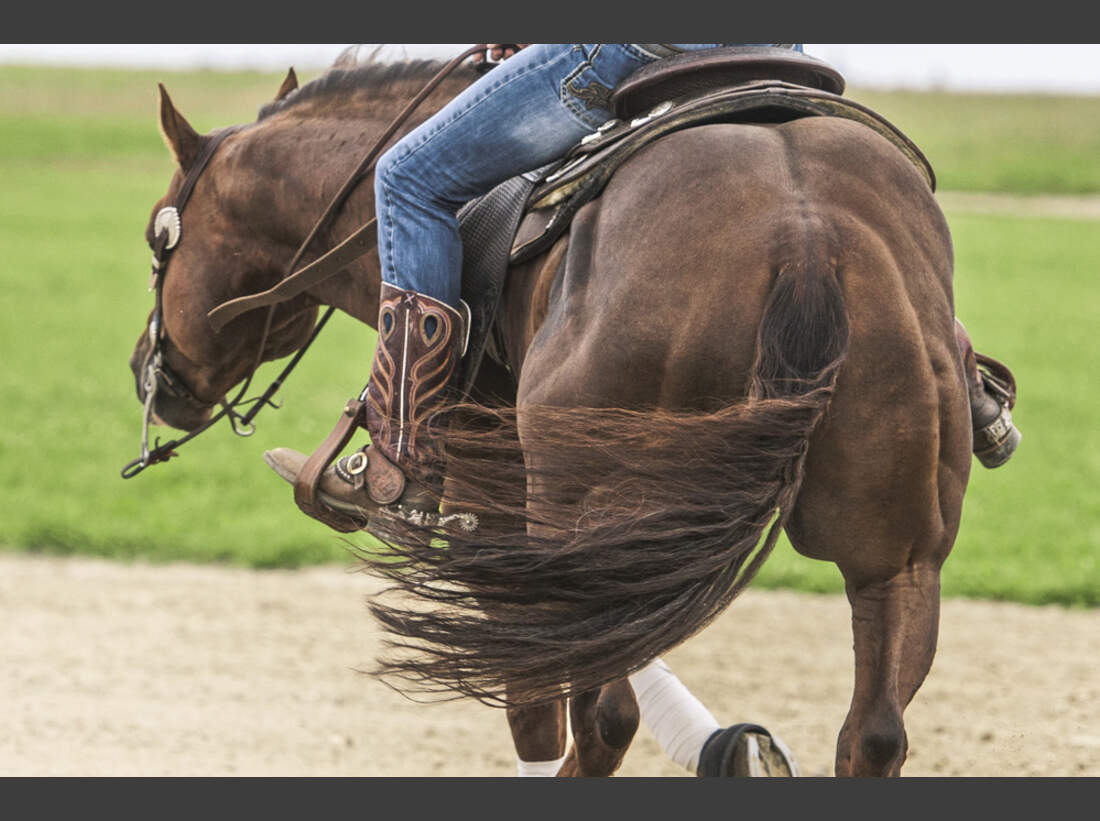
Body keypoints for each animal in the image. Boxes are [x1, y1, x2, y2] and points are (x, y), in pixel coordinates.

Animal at [128, 52, 971, 777]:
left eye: (156, 238)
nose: (148, 372)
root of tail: (805, 236)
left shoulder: (492, 508)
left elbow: (536, 704)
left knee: (605, 716)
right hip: (895, 554)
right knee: (874, 733)